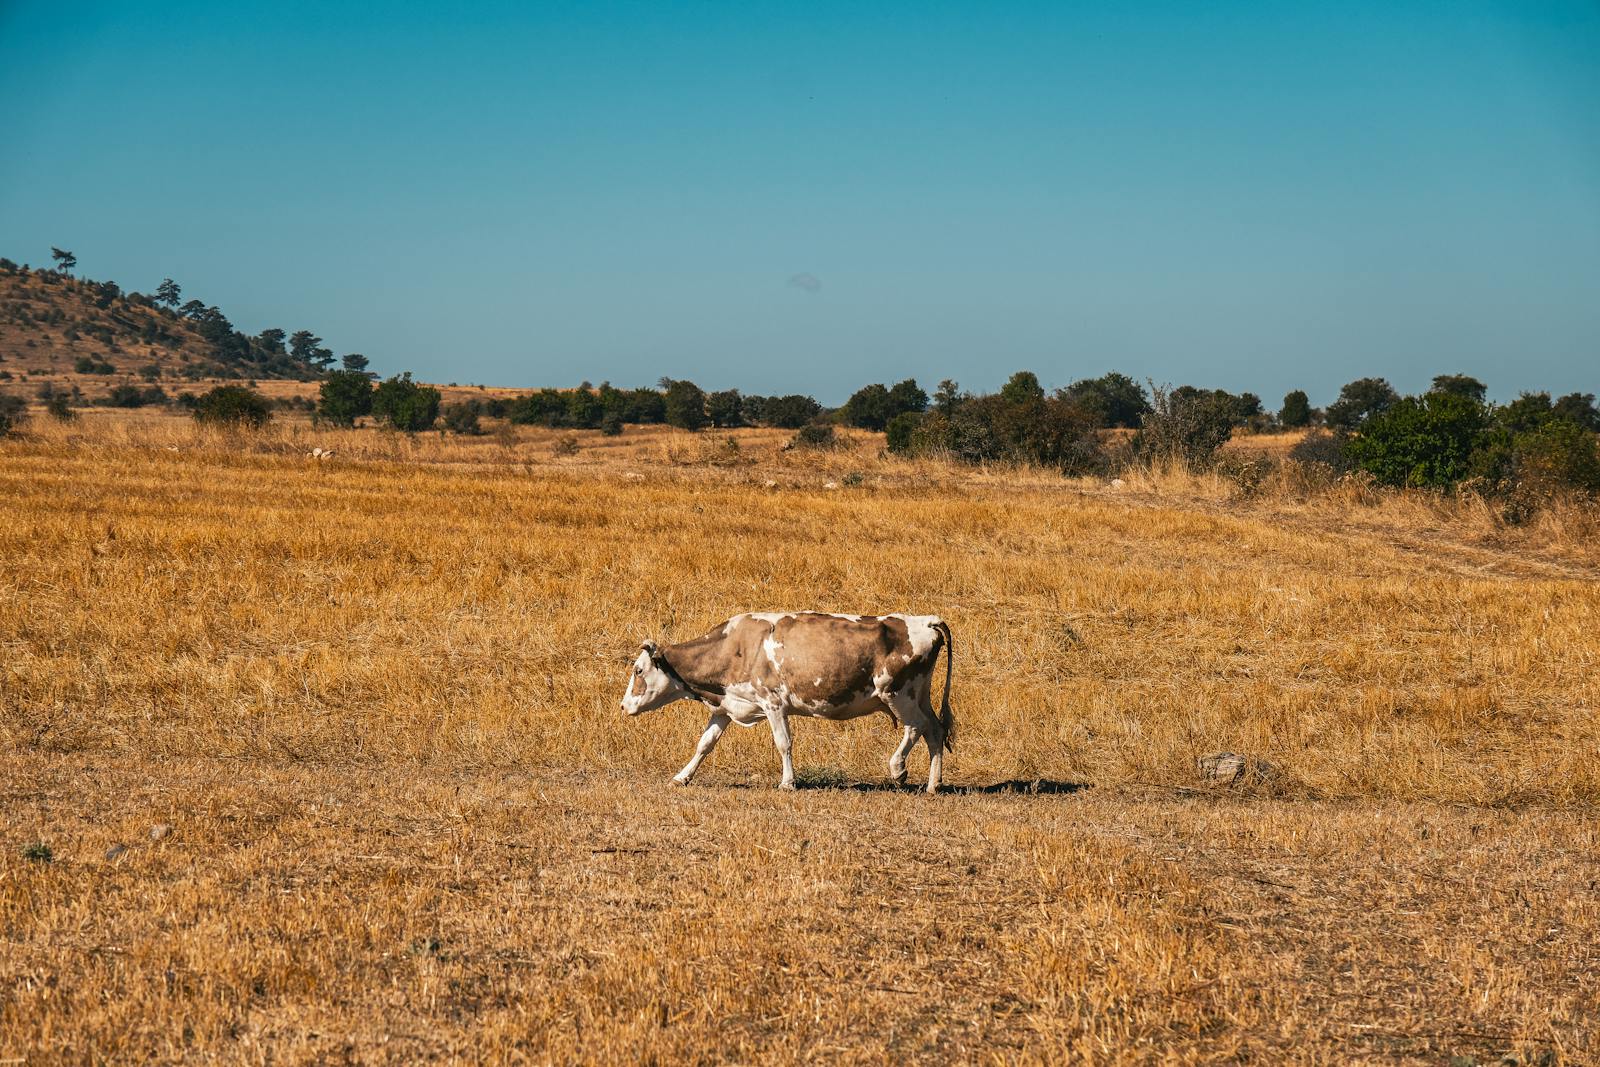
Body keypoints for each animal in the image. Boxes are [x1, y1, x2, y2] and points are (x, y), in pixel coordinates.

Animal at [621, 612, 956, 793]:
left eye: (638, 670)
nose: (624, 706)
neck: (738, 646)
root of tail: (926, 621)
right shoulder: (726, 707)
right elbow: (704, 744)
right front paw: (682, 777)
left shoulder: (773, 704)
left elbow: (784, 743)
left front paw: (787, 782)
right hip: (918, 695)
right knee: (935, 730)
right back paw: (933, 784)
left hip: (895, 693)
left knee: (916, 727)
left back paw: (898, 768)